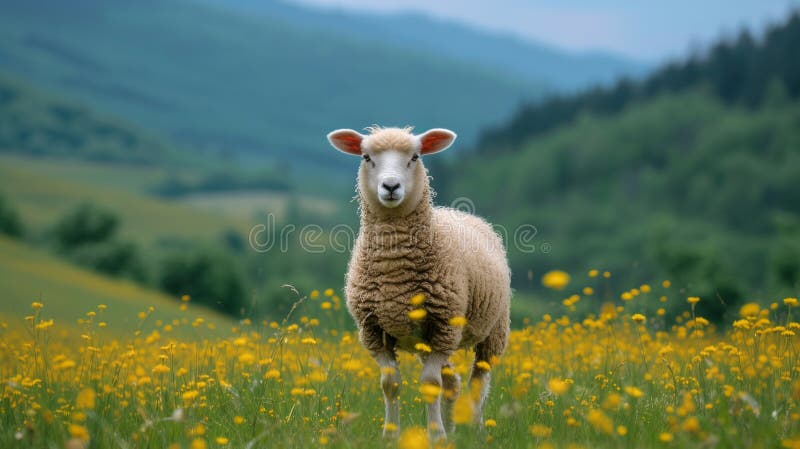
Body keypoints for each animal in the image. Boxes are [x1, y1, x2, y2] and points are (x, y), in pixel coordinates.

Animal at [326, 125, 511, 440]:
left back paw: (475, 430)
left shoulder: (443, 324)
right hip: (430, 340)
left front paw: (436, 436)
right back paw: (454, 430)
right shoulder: (374, 330)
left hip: (491, 331)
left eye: (415, 157)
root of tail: (458, 212)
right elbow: (390, 385)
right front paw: (390, 436)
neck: (395, 273)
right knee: (454, 382)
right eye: (366, 157)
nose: (390, 186)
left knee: (478, 382)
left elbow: (430, 385)